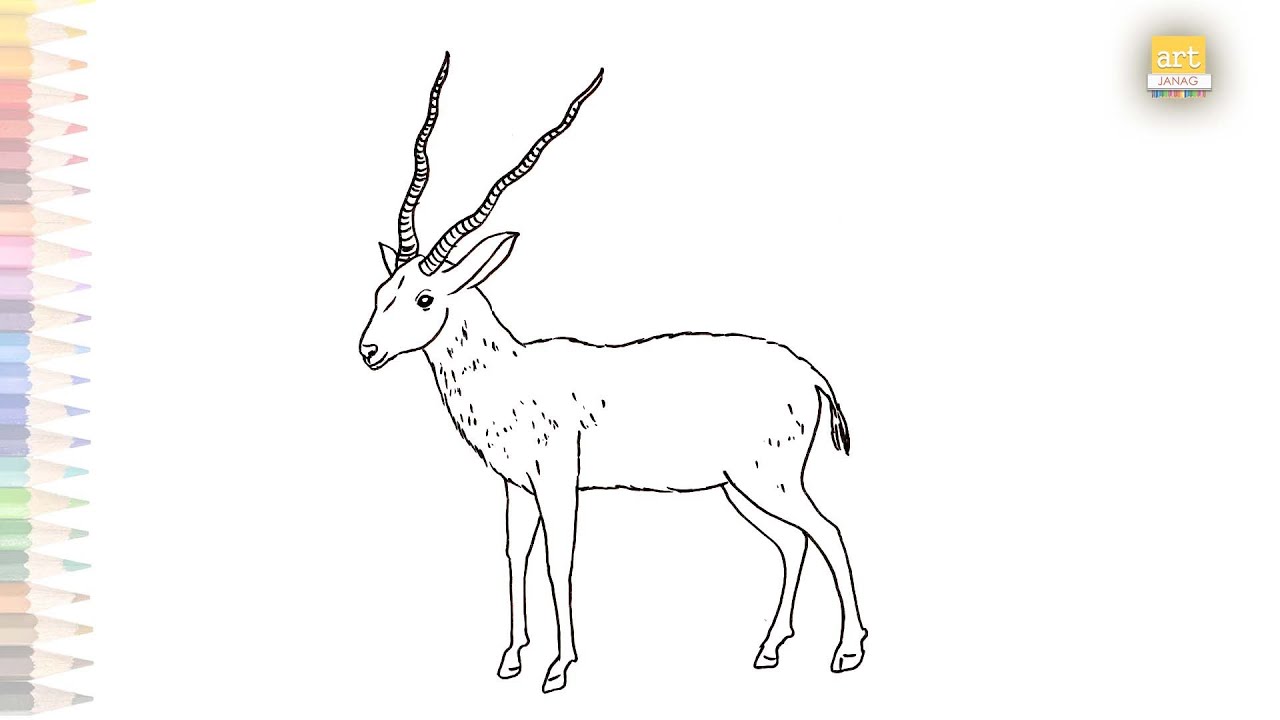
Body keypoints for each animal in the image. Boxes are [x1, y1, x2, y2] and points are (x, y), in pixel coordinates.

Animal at [359, 53, 868, 693]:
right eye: (382, 292)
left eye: (425, 298)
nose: (368, 349)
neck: (510, 373)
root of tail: (810, 373)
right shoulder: (515, 487)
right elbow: (515, 558)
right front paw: (511, 659)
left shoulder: (557, 480)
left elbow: (559, 562)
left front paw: (558, 668)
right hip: (742, 488)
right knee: (794, 543)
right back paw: (769, 650)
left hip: (768, 480)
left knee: (829, 532)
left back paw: (847, 651)